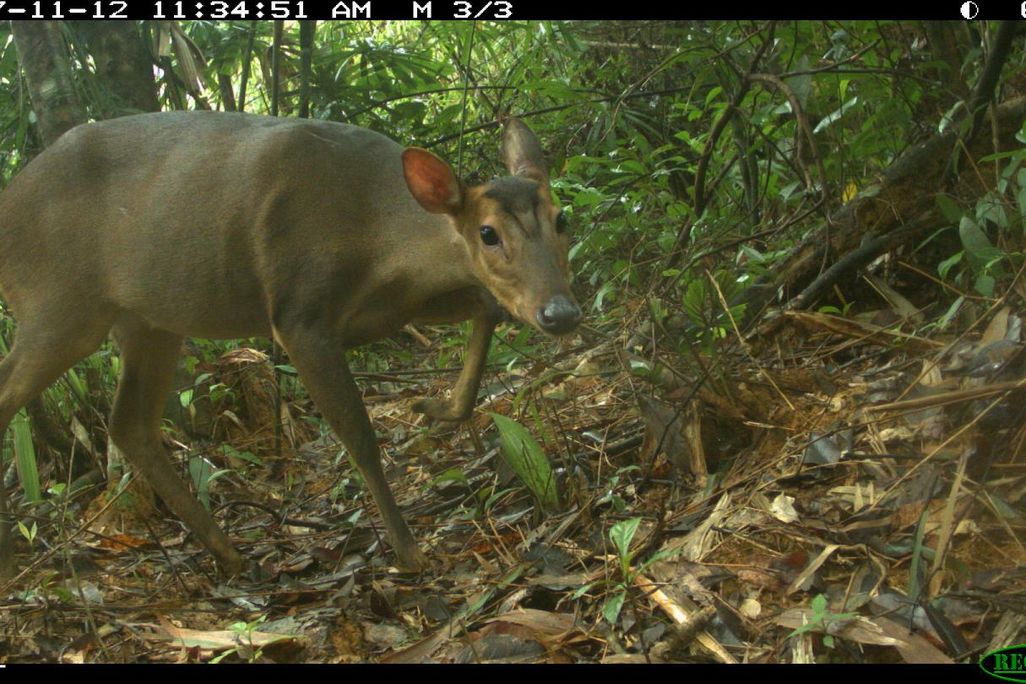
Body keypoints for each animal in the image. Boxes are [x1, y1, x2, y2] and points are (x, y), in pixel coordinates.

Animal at [0, 112, 581, 577]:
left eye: (562, 217)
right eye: (488, 233)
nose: (560, 311)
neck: (378, 235)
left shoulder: (397, 306)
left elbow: (487, 307)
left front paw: (435, 406)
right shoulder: (298, 312)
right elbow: (358, 434)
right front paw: (409, 550)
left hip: (148, 318)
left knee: (128, 424)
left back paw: (231, 555)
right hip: (58, 305)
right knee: (15, 396)